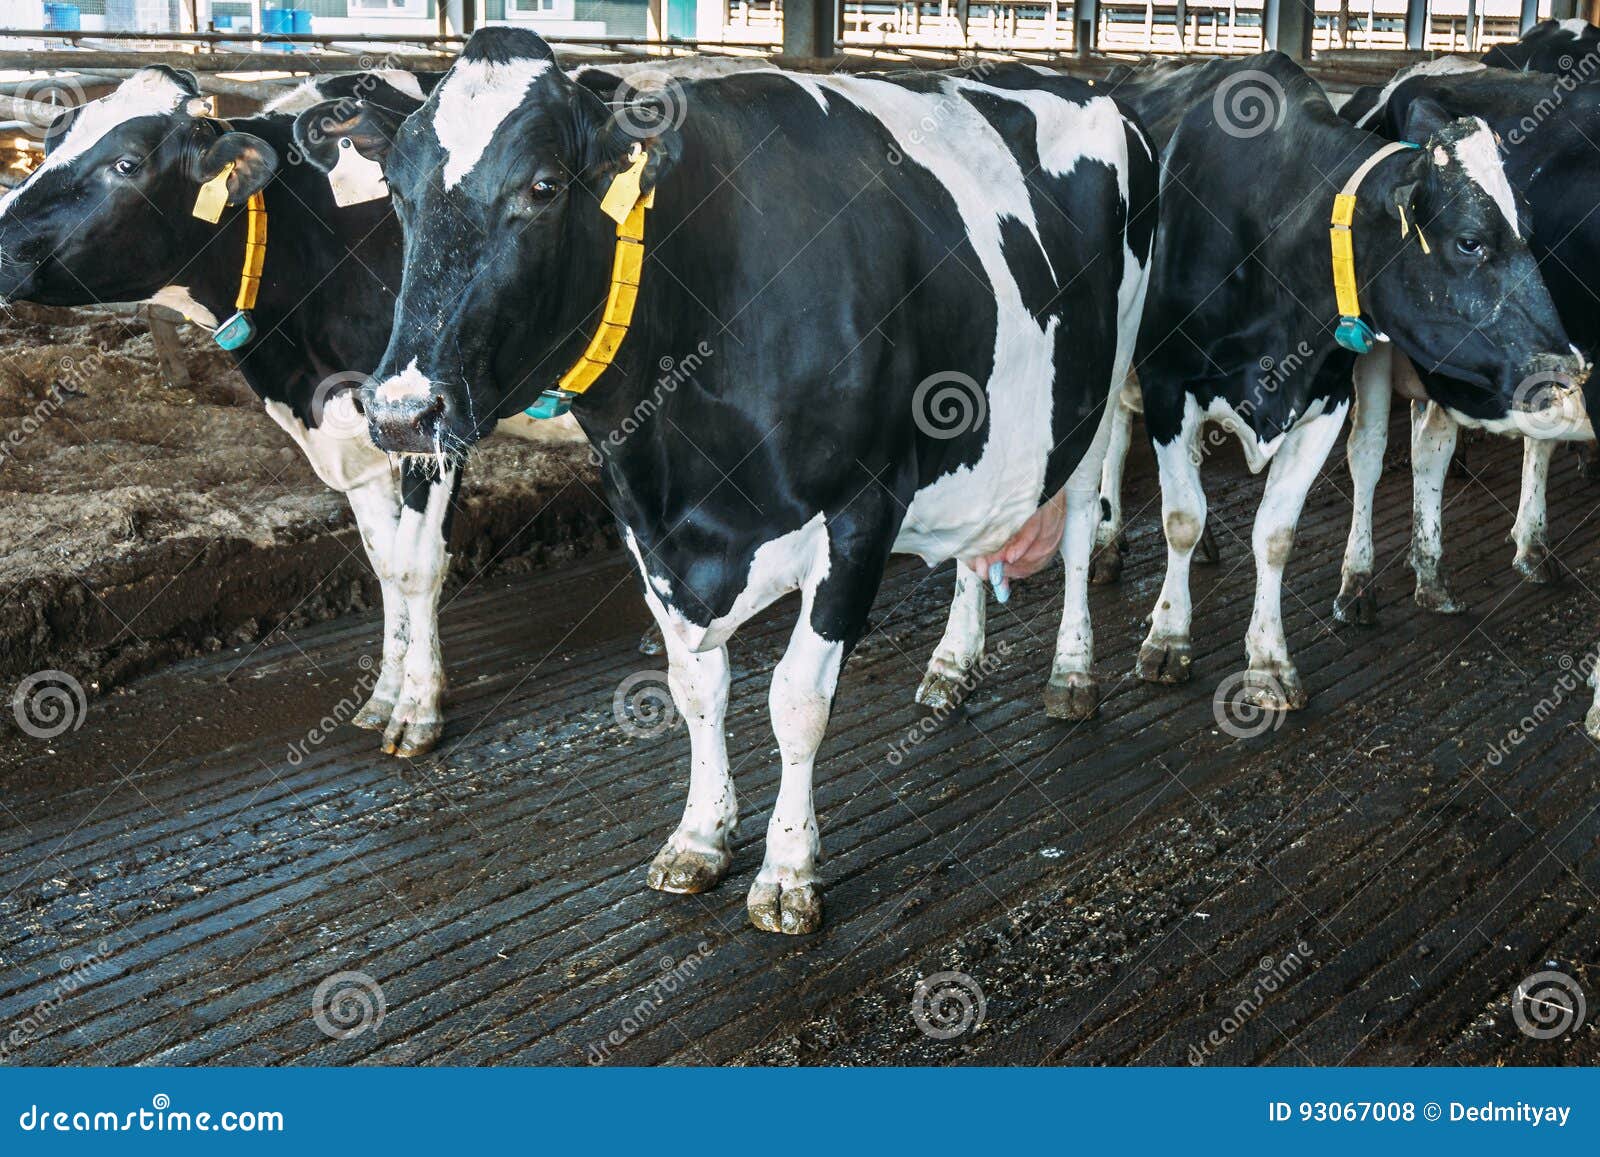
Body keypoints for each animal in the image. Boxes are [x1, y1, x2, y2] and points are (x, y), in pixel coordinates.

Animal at [302, 26, 1158, 932]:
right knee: (974, 543)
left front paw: (788, 869)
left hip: (1105, 379)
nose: (401, 412)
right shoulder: (643, 517)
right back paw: (952, 666)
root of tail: (1089, 89)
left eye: (542, 186)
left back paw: (1073, 673)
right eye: (397, 191)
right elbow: (696, 686)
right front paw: (700, 834)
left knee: (1078, 530)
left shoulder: (862, 507)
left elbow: (796, 698)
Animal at [1090, 53, 1580, 712]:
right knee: (1117, 439)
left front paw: (1270, 662)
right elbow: (1179, 517)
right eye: (1470, 241)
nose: (1567, 367)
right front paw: (1167, 639)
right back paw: (1108, 544)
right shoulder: (1170, 384)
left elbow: (1276, 532)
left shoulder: (1326, 395)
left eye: (1531, 228)